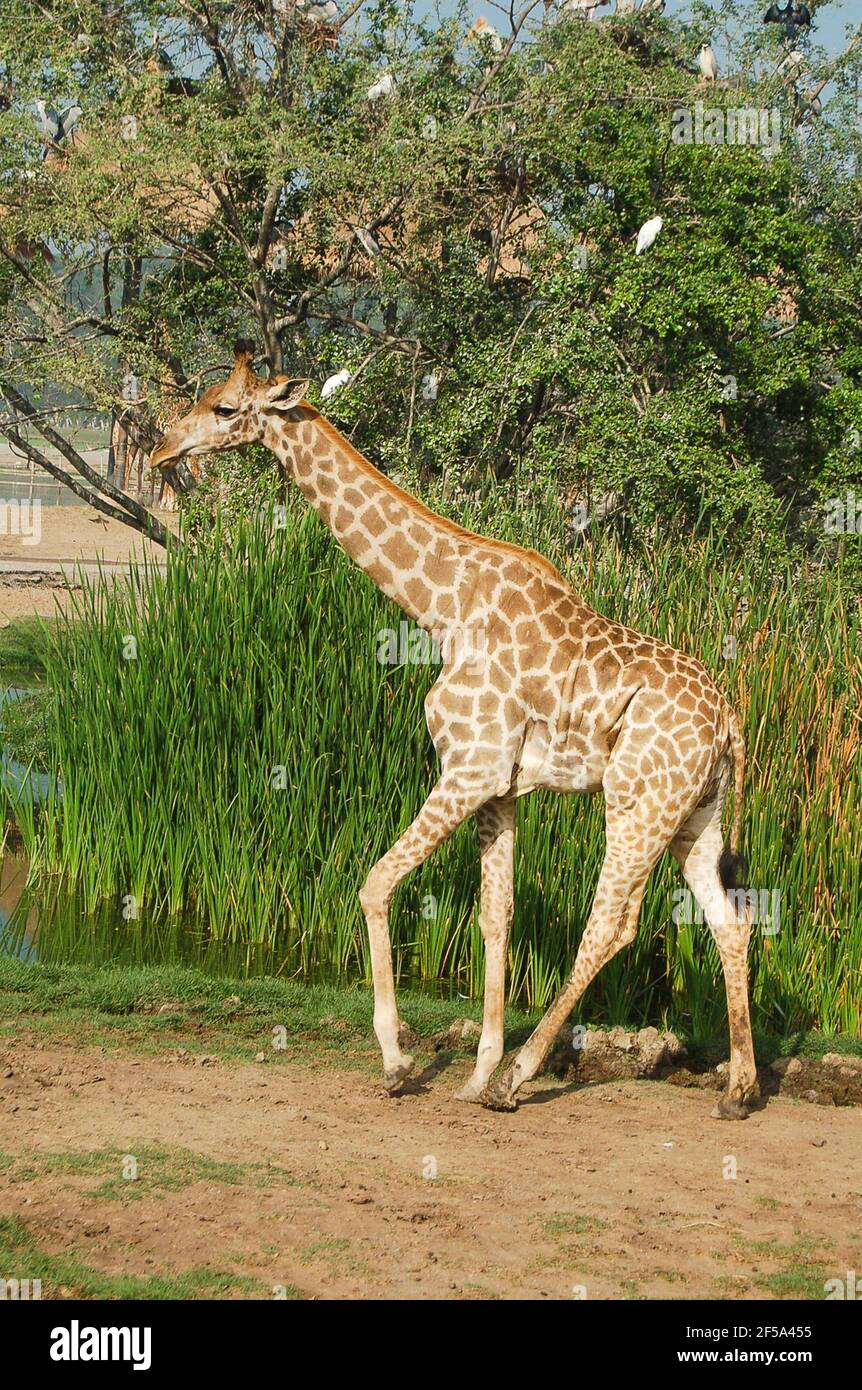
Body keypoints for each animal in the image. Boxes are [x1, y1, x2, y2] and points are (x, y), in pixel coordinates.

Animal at [151, 341, 760, 1120]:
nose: (163, 446)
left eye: (225, 407)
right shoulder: (499, 787)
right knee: (729, 919)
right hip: (696, 814)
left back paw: (520, 1078)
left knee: (612, 925)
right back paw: (738, 1089)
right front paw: (472, 1071)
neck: (440, 606)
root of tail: (729, 722)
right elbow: (494, 917)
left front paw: (400, 1062)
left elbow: (376, 884)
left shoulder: (467, 767)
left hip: (637, 801)